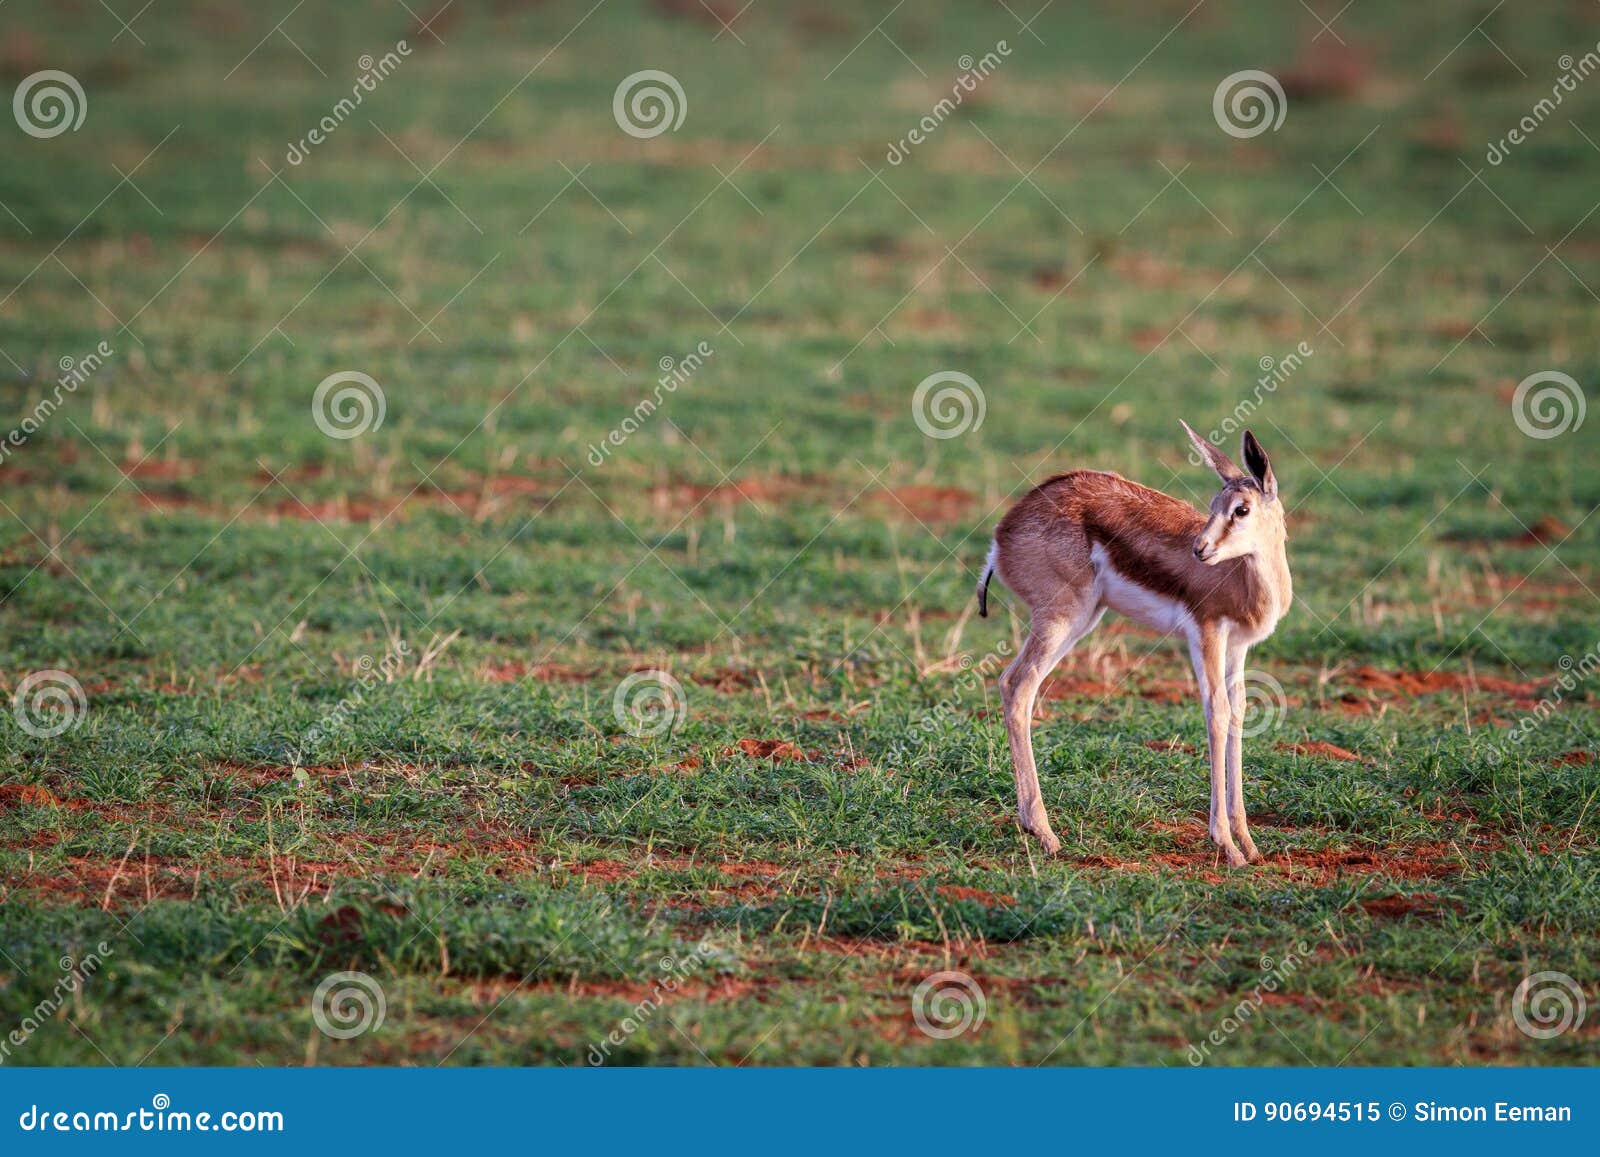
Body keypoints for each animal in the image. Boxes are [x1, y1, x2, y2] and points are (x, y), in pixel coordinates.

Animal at [977, 424, 1291, 867]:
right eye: (1215, 505)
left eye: (1241, 509)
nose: (1200, 549)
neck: (1240, 577)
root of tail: (1003, 531)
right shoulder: (1207, 634)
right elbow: (1216, 713)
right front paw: (1226, 845)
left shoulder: (1238, 647)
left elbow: (1239, 713)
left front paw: (1247, 842)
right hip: (1061, 618)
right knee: (1017, 684)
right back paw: (1045, 833)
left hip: (1082, 620)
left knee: (1015, 684)